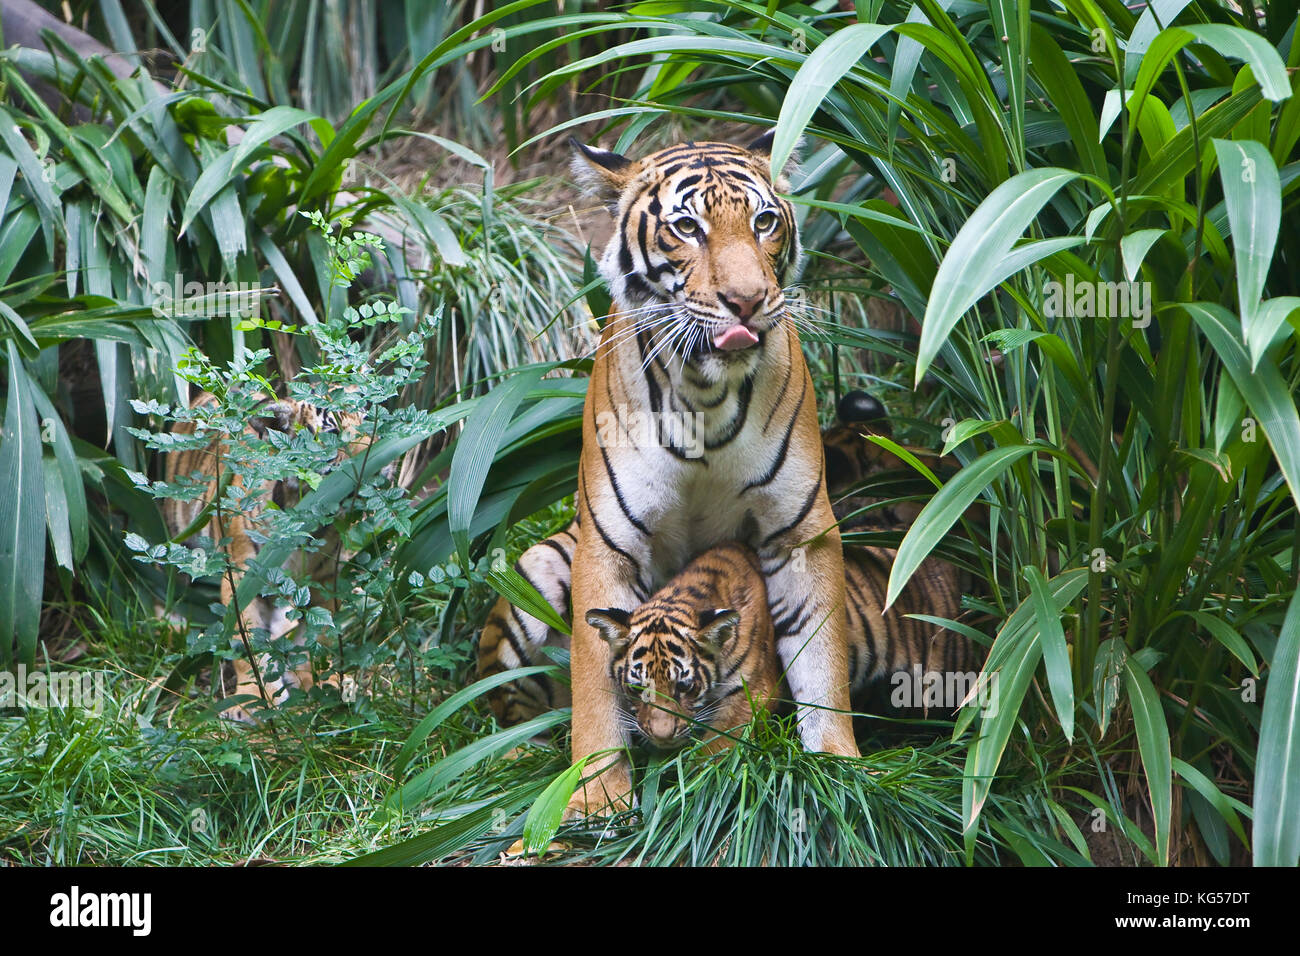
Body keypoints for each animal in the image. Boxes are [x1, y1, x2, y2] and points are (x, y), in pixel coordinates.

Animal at [162, 389, 368, 720]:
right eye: (332, 432)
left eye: (367, 421)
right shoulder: (243, 582)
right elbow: (247, 646)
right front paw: (254, 698)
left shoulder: (326, 582)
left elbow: (318, 637)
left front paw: (320, 682)